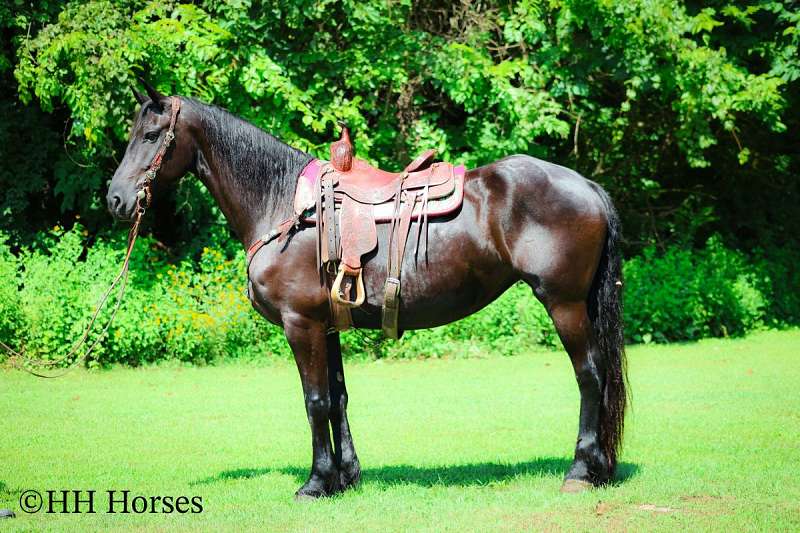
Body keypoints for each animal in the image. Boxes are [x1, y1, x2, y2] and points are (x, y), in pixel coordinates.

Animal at [107, 81, 627, 499]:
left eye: (151, 136)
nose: (116, 199)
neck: (281, 205)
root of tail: (587, 185)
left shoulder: (301, 324)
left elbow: (314, 401)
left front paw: (316, 483)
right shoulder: (327, 325)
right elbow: (337, 398)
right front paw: (346, 477)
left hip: (563, 304)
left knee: (590, 377)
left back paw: (581, 472)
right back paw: (600, 470)